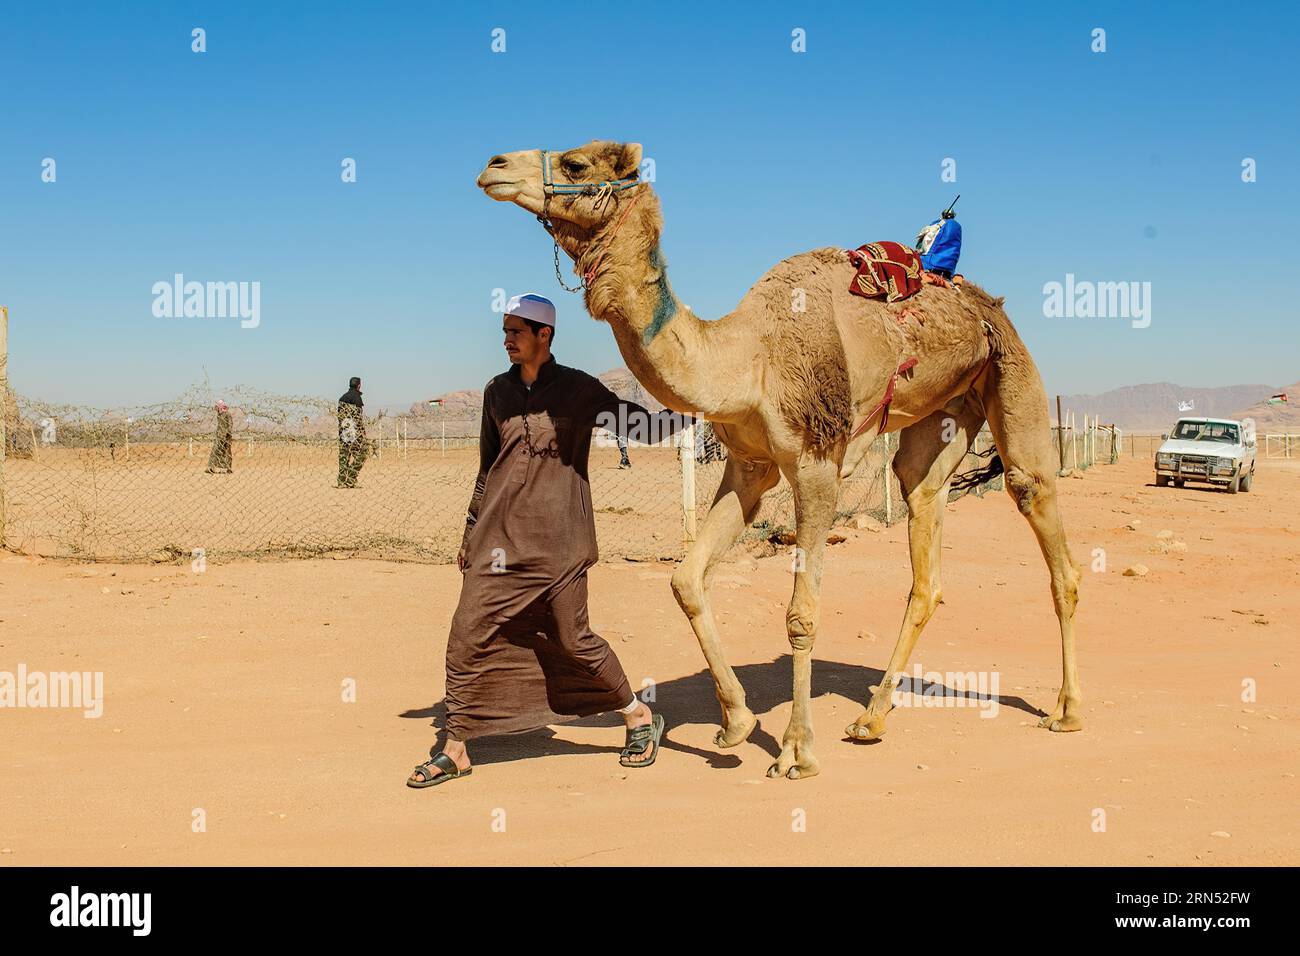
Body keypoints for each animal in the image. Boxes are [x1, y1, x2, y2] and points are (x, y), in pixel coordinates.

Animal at [476, 141, 1082, 780]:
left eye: (575, 164)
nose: (495, 165)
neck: (748, 359)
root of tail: (983, 301)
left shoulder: (817, 467)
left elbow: (801, 614)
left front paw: (795, 750)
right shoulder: (749, 467)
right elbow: (686, 579)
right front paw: (738, 723)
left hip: (1010, 366)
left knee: (1037, 502)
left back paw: (1065, 709)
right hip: (944, 411)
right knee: (921, 523)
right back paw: (871, 719)